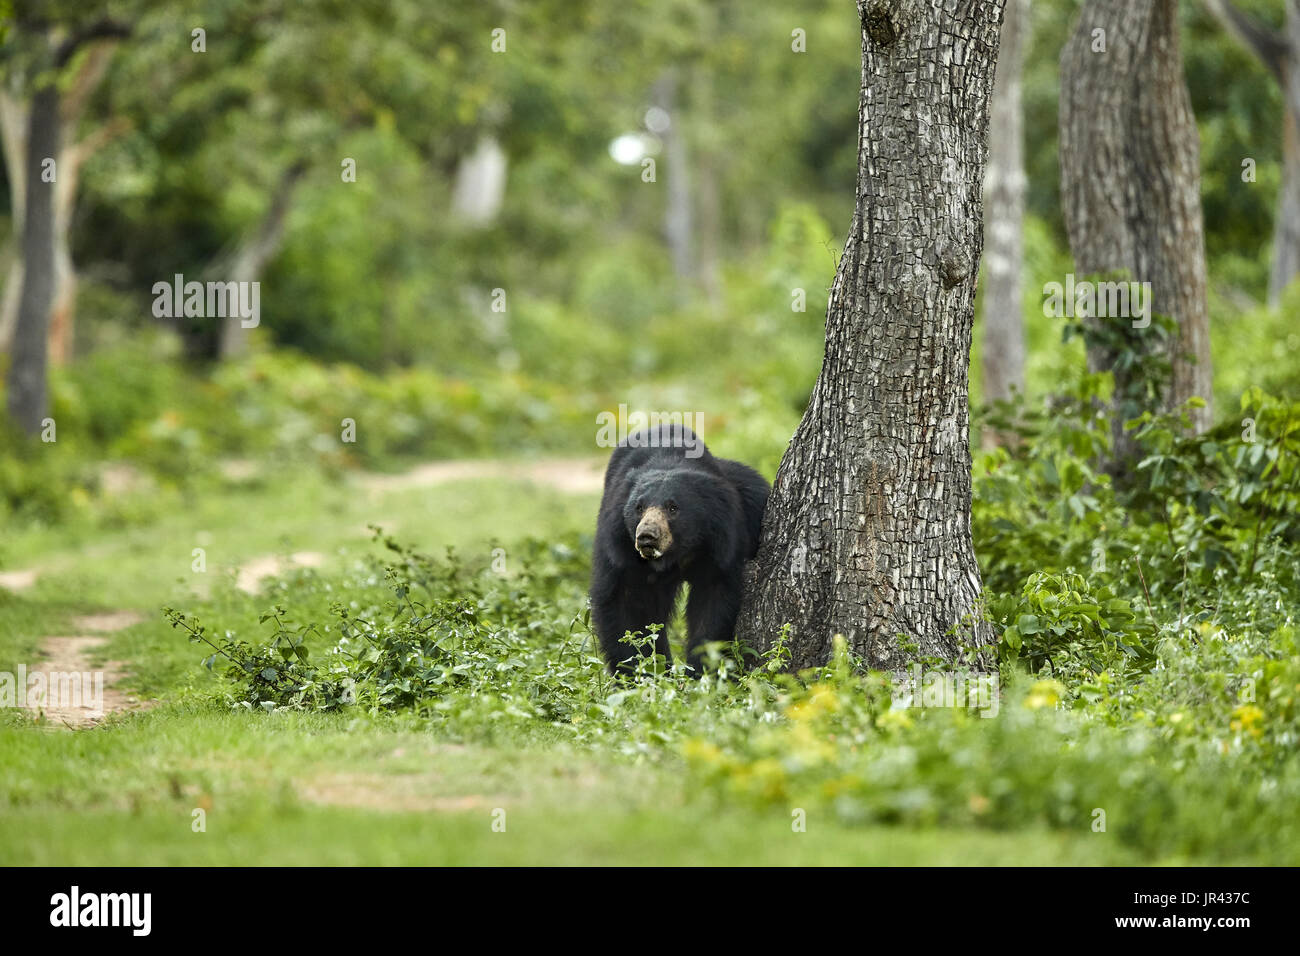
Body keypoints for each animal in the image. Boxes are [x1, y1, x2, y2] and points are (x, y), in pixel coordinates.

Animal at [589, 423, 770, 675]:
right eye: (639, 507)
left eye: (673, 508)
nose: (647, 536)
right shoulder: (617, 544)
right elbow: (621, 602)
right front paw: (640, 671)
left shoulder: (724, 540)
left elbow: (714, 601)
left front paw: (699, 670)